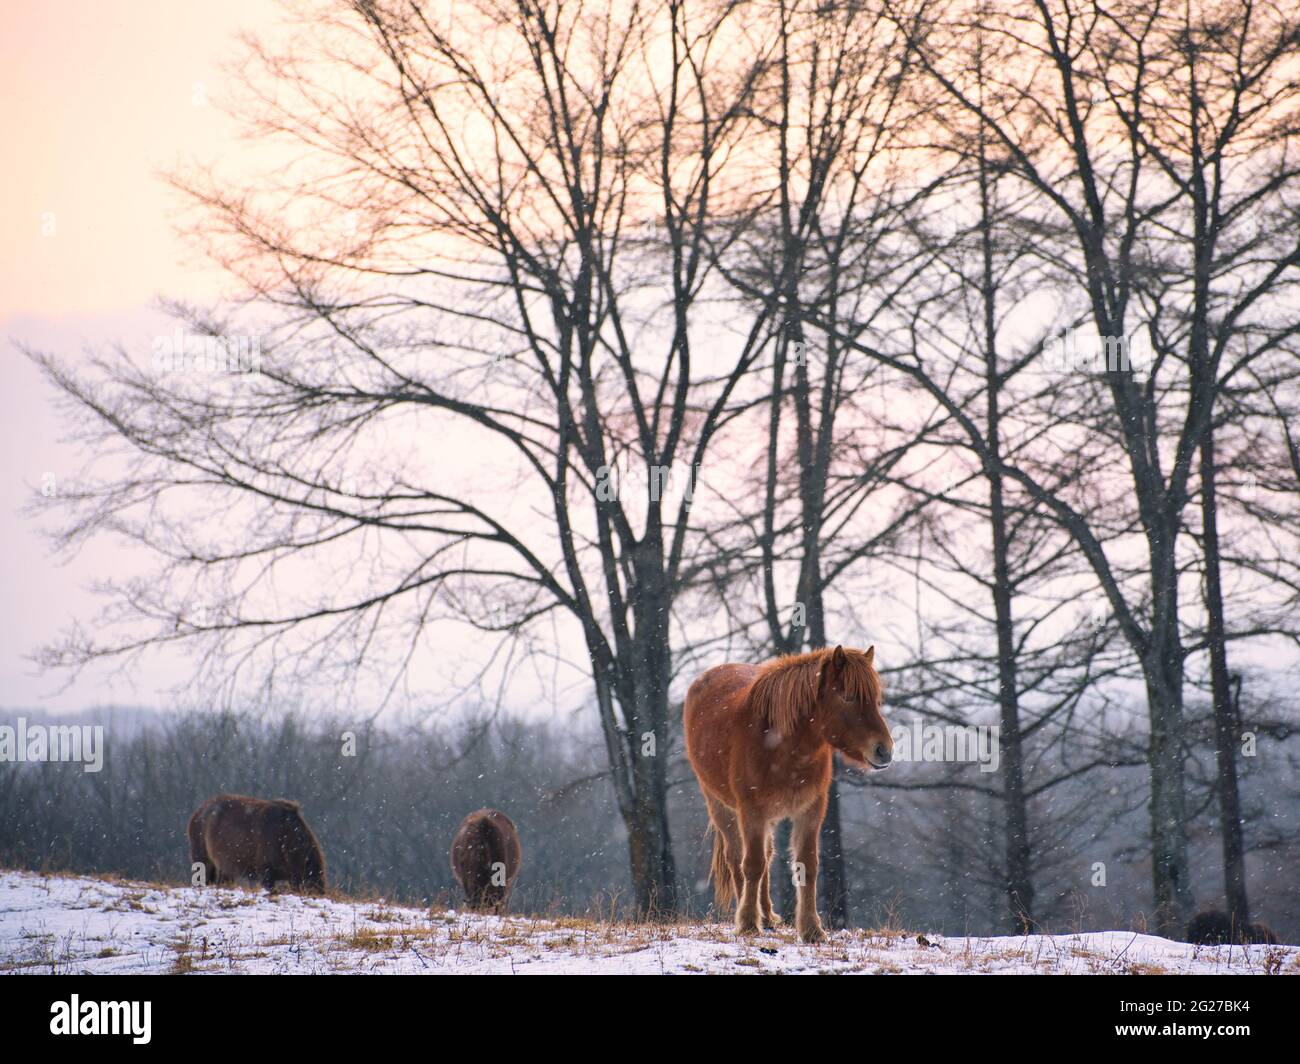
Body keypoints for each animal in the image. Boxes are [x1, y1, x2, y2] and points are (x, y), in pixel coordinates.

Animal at [684, 644, 892, 943]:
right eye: (847, 697)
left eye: (875, 699)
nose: (884, 750)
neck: (782, 745)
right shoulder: (752, 811)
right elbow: (752, 864)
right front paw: (748, 923)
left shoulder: (811, 811)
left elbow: (807, 865)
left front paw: (811, 929)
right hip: (721, 806)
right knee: (737, 858)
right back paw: (752, 913)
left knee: (767, 855)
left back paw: (768, 915)